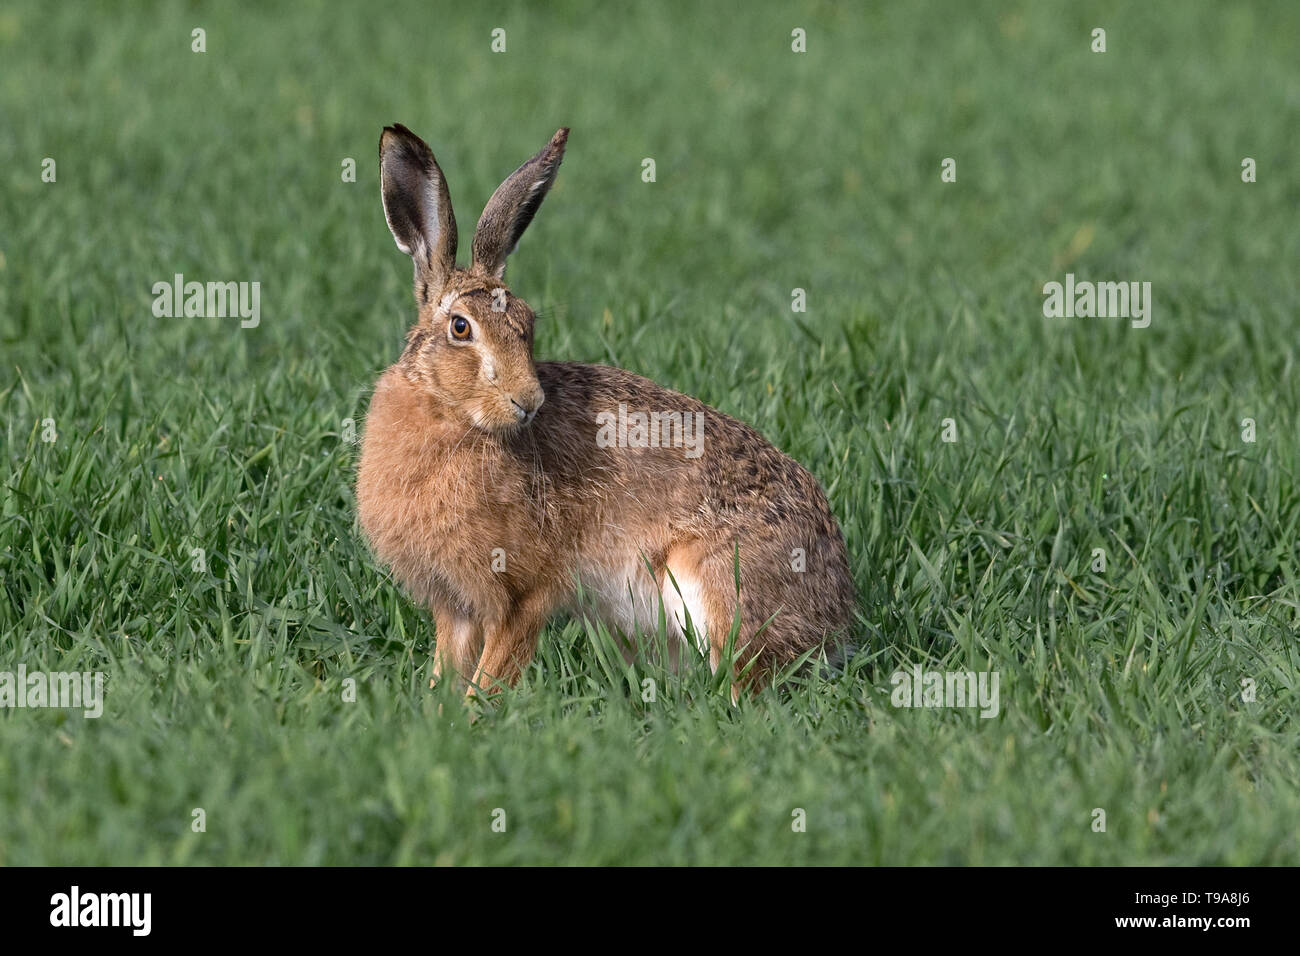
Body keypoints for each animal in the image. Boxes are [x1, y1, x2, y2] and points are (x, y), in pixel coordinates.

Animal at [356, 123, 856, 699]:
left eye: (527, 324)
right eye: (461, 327)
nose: (529, 402)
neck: (449, 414)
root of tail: (836, 616)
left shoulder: (523, 597)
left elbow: (495, 670)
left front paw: (478, 710)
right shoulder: (455, 608)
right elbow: (449, 666)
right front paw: (437, 709)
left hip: (711, 582)